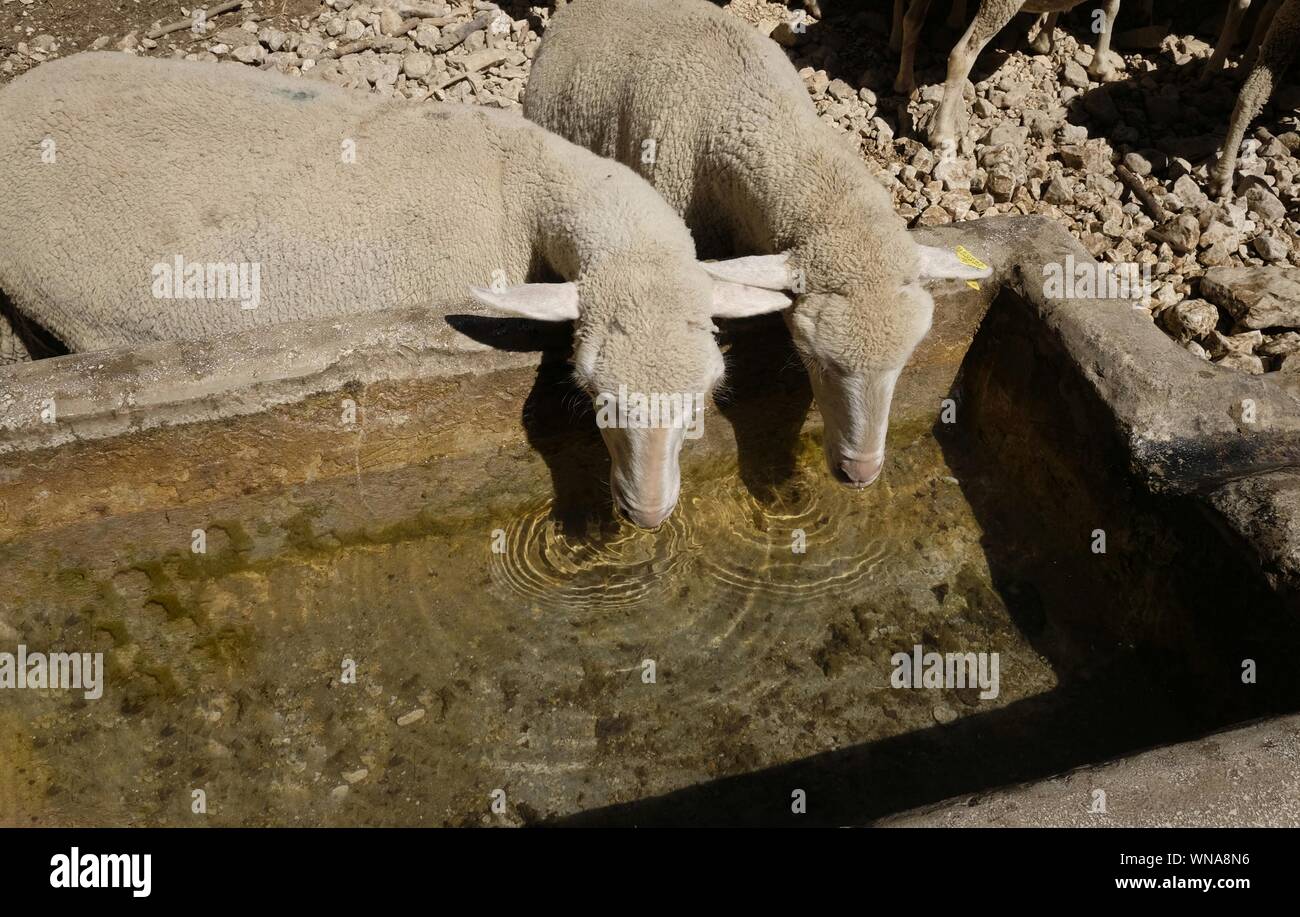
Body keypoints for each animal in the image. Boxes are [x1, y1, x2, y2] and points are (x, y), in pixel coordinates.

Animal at [909, 0, 1122, 150]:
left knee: (912, 19)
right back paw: (942, 135)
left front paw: (1044, 41)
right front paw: (1102, 67)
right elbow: (1111, 10)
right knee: (961, 54)